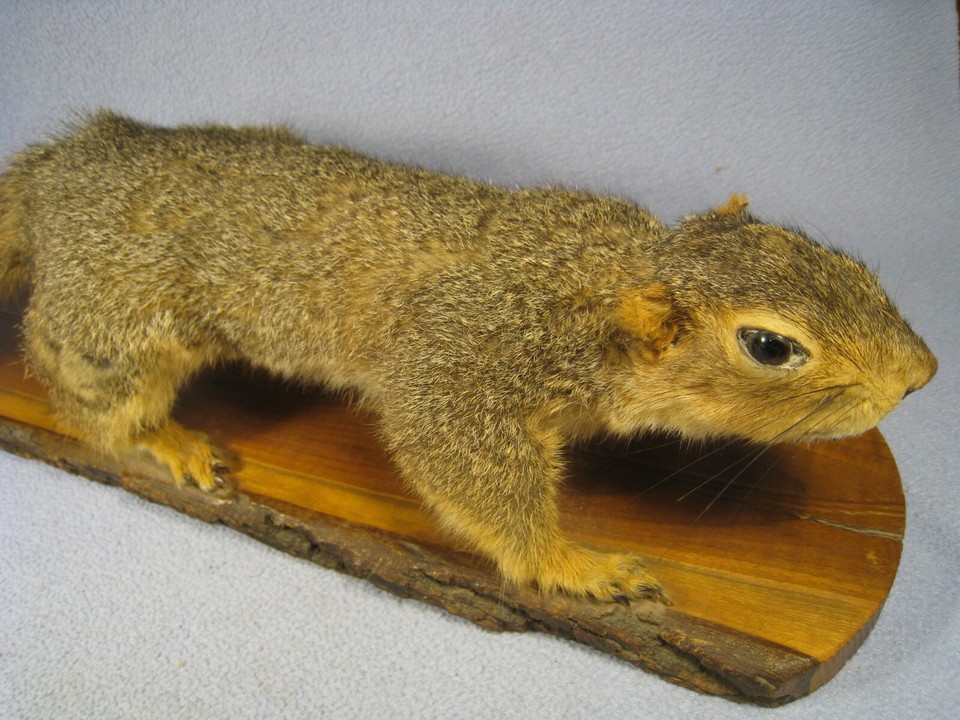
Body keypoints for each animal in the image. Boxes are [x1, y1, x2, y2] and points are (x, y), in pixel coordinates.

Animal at [0, 111, 937, 602]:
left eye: (842, 262)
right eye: (771, 346)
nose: (921, 375)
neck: (604, 280)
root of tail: (60, 166)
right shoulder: (469, 348)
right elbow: (445, 440)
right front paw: (573, 564)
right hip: (117, 320)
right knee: (80, 387)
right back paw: (165, 440)